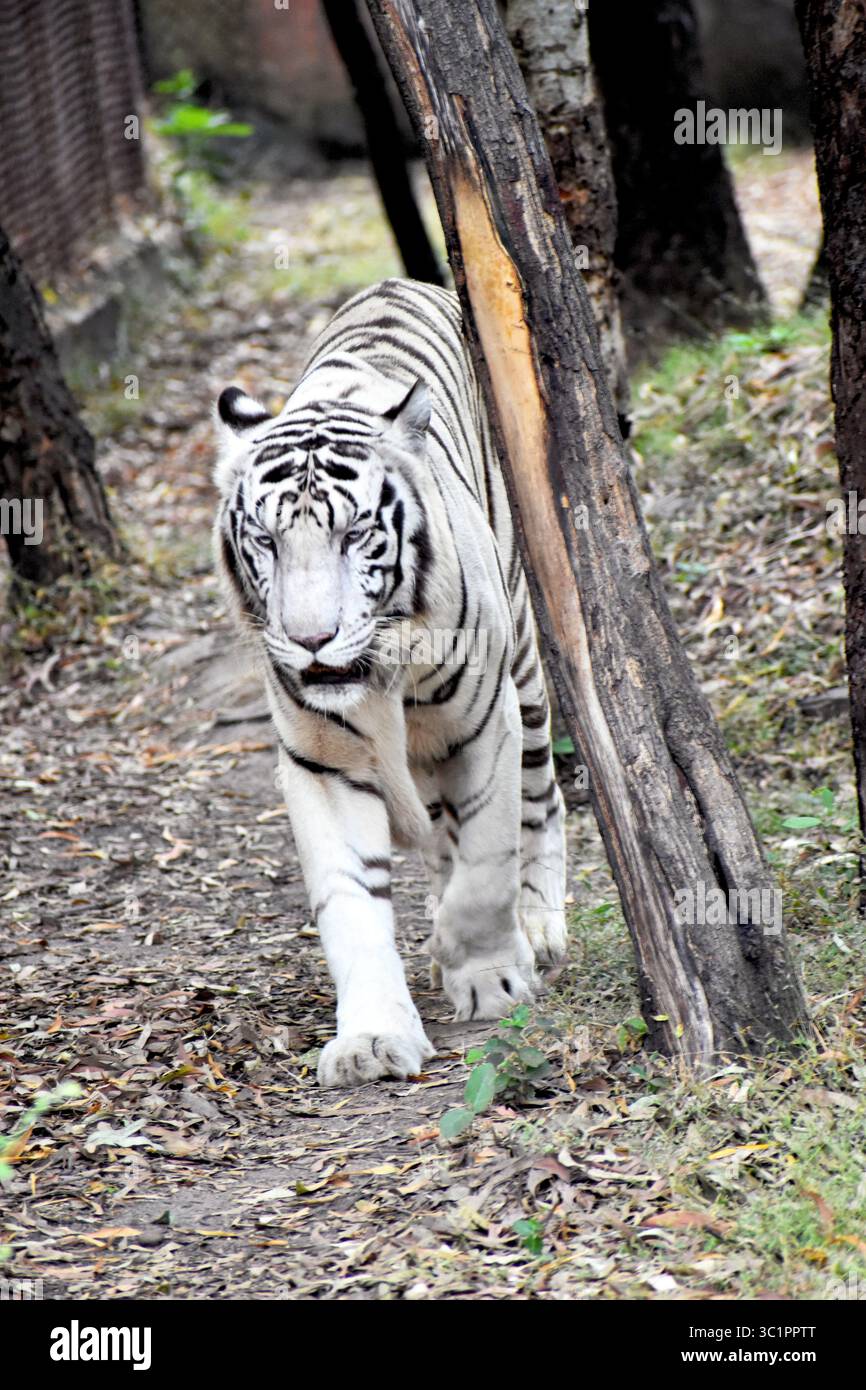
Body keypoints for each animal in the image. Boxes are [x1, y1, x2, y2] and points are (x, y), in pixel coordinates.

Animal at [214, 278, 567, 1087]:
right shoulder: (322, 765)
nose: (311, 639)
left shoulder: (484, 728)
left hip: (526, 673)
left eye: (354, 535)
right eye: (267, 541)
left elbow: (486, 866)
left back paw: (537, 927)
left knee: (541, 806)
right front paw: (372, 1039)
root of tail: (399, 282)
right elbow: (350, 904)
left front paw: (487, 975)